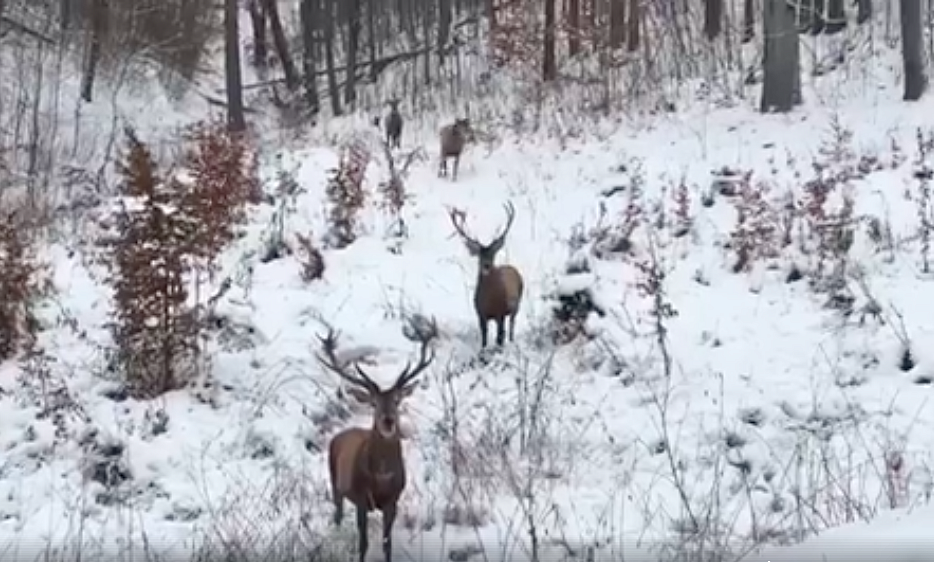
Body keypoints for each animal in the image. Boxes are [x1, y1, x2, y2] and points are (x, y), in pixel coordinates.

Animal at [317, 317, 438, 562]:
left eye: (397, 399)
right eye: (373, 402)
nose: (388, 421)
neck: (381, 477)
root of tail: (340, 434)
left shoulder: (393, 501)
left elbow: (386, 544)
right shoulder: (361, 498)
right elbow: (363, 543)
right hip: (335, 482)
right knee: (337, 516)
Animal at [449, 202, 524, 349]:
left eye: (493, 254)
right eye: (480, 255)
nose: (487, 266)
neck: (489, 300)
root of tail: (512, 268)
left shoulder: (500, 312)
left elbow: (499, 336)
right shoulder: (480, 313)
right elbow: (484, 338)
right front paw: (483, 350)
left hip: (516, 305)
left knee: (511, 326)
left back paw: (511, 342)